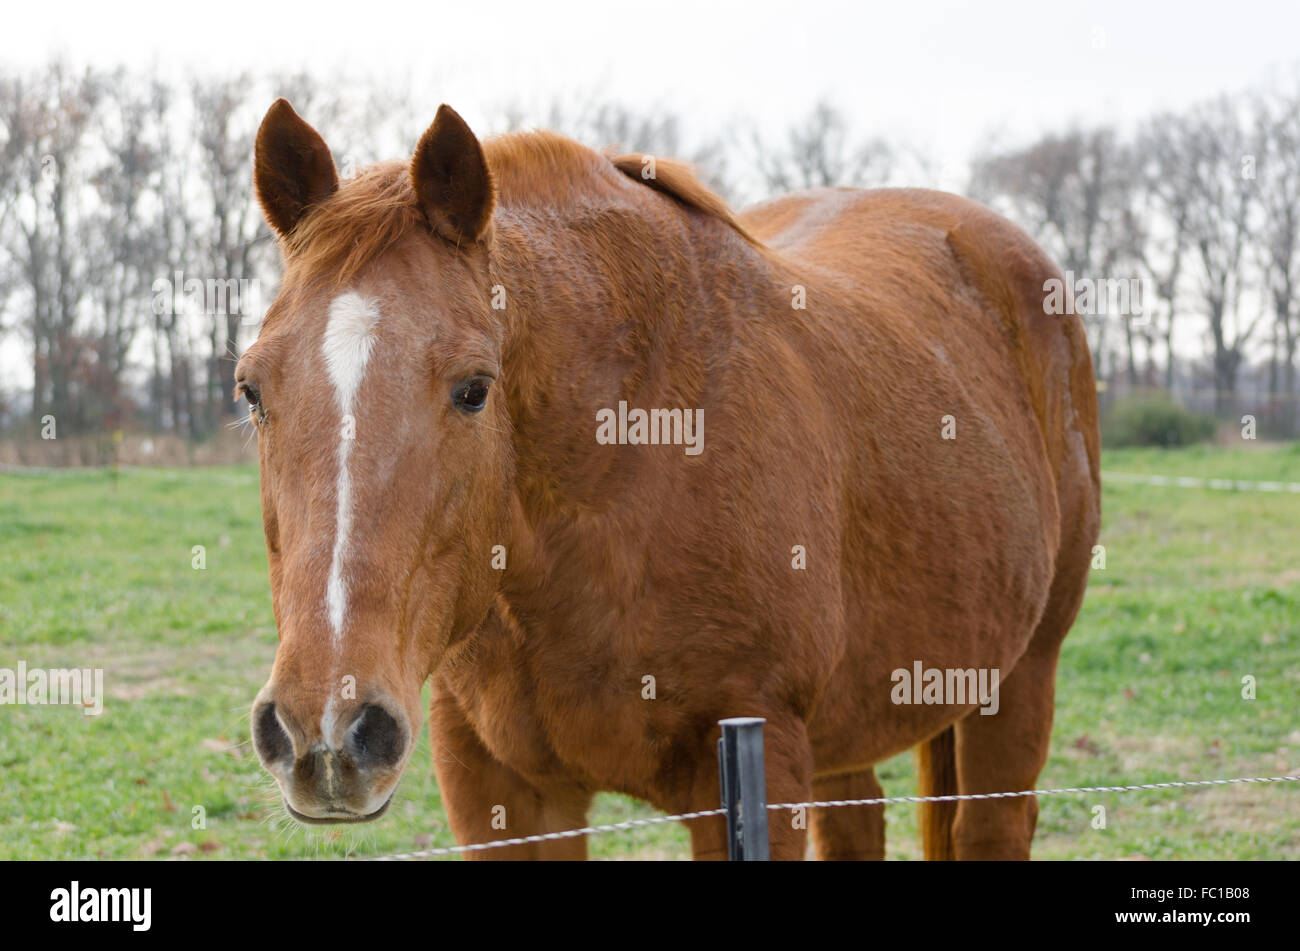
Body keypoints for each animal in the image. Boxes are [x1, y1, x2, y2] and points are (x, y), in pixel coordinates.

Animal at [240, 98, 1100, 860]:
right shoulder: (499, 787)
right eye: (252, 389)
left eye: (474, 389)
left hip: (1020, 680)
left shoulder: (755, 771)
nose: (327, 728)